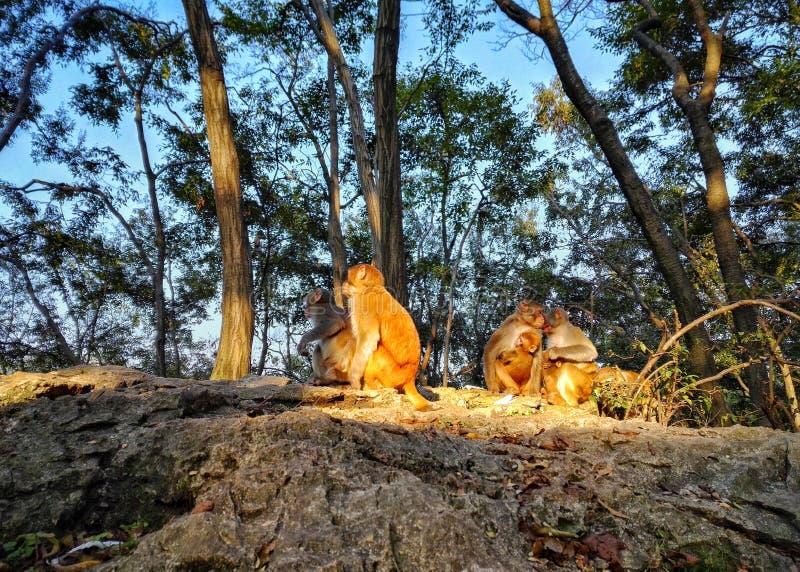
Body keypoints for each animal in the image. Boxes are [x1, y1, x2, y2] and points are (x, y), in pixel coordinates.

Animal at [342, 263, 430, 411]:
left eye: (348, 277)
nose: (343, 284)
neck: (370, 288)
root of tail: (410, 379)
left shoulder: (363, 304)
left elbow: (369, 338)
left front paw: (353, 380)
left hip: (391, 375)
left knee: (375, 350)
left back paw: (372, 387)